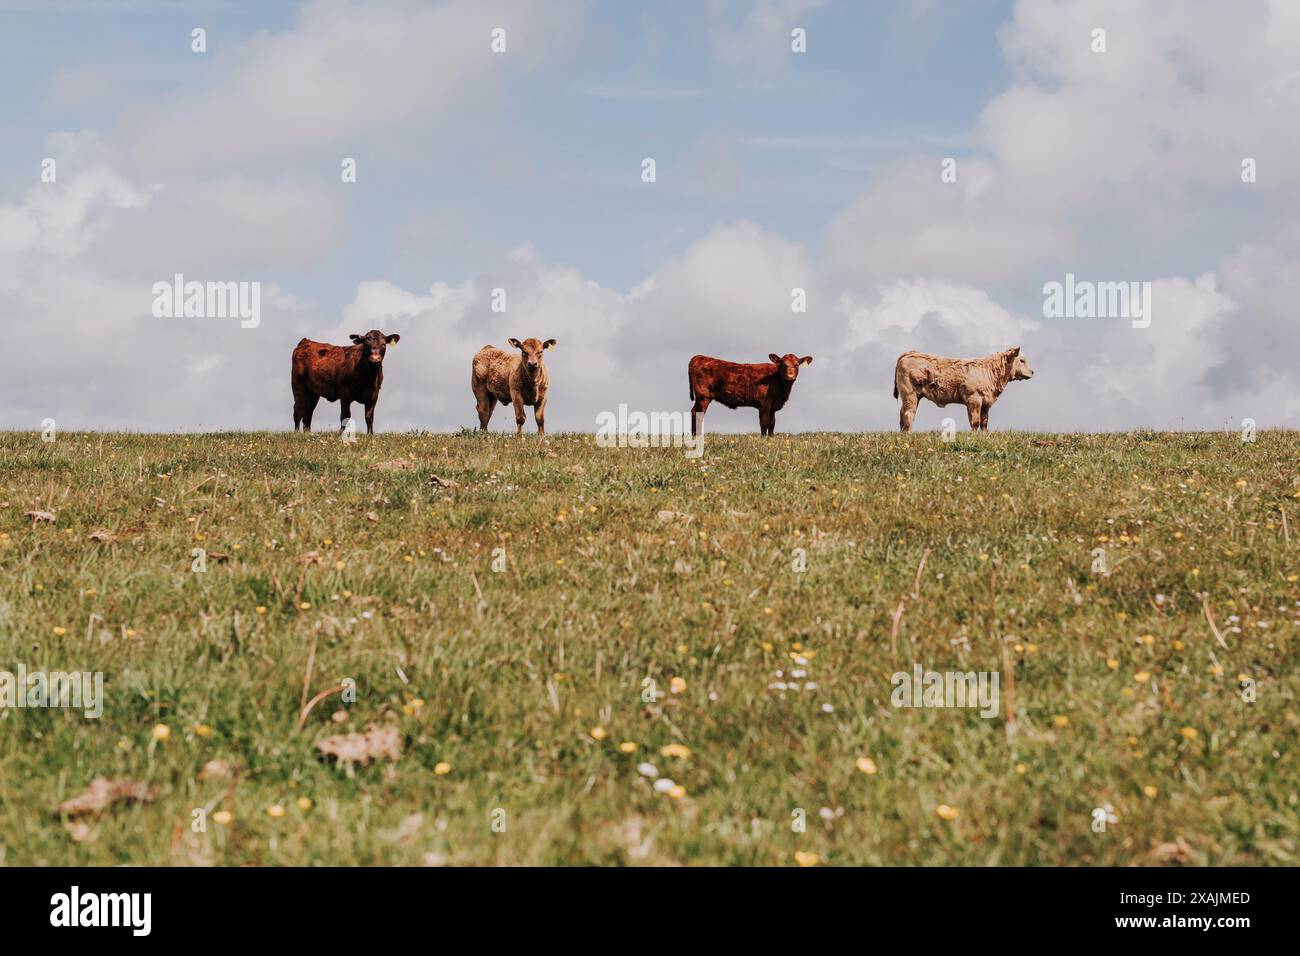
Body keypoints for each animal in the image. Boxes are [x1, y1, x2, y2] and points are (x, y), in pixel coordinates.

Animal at [893, 346, 1034, 433]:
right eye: (1022, 360)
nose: (1032, 372)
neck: (989, 372)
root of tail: (910, 353)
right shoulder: (974, 399)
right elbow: (975, 421)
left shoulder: (986, 403)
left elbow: (984, 422)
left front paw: (984, 436)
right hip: (909, 393)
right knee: (908, 414)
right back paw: (908, 434)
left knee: (902, 414)